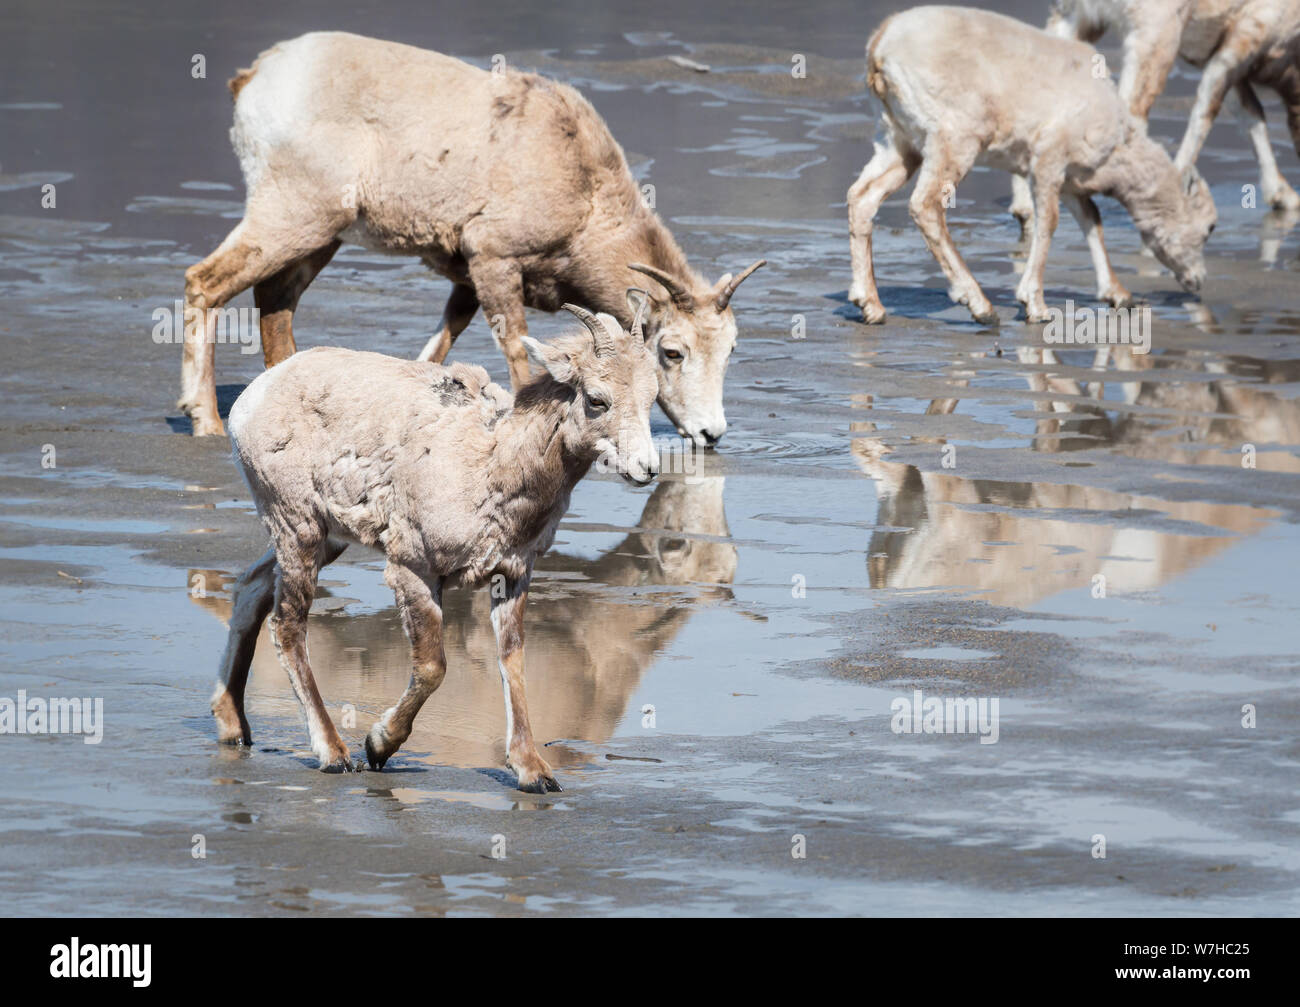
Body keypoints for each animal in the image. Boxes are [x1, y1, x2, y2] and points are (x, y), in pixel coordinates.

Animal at [177, 31, 764, 444]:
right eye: (672, 351)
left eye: (731, 349)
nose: (711, 433)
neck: (580, 181)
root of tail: (256, 78)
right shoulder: (495, 262)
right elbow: (517, 348)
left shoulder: (466, 279)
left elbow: (440, 343)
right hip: (294, 215)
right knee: (206, 282)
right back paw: (205, 422)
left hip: (319, 236)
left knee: (275, 303)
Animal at [209, 297, 660, 793]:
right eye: (597, 399)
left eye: (651, 397)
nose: (648, 468)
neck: (491, 464)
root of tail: (254, 396)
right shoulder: (415, 569)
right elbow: (432, 667)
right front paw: (378, 746)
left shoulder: (512, 576)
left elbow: (513, 661)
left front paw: (533, 772)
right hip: (298, 528)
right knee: (288, 626)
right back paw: (334, 753)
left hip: (325, 539)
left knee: (250, 590)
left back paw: (234, 727)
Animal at [847, 5, 1216, 325]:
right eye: (1210, 227)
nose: (1198, 281)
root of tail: (880, 45)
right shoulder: (1047, 161)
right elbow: (1049, 223)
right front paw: (1036, 306)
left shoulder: (1070, 180)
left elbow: (1092, 220)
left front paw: (1119, 295)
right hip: (954, 138)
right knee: (925, 205)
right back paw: (981, 307)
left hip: (898, 141)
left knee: (862, 197)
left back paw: (871, 306)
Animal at [1011, 1, 1300, 231]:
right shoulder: (1239, 43)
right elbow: (1207, 111)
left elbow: (1249, 112)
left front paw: (1283, 196)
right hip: (1154, 35)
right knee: (1131, 116)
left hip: (1076, 19)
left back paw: (1025, 210)